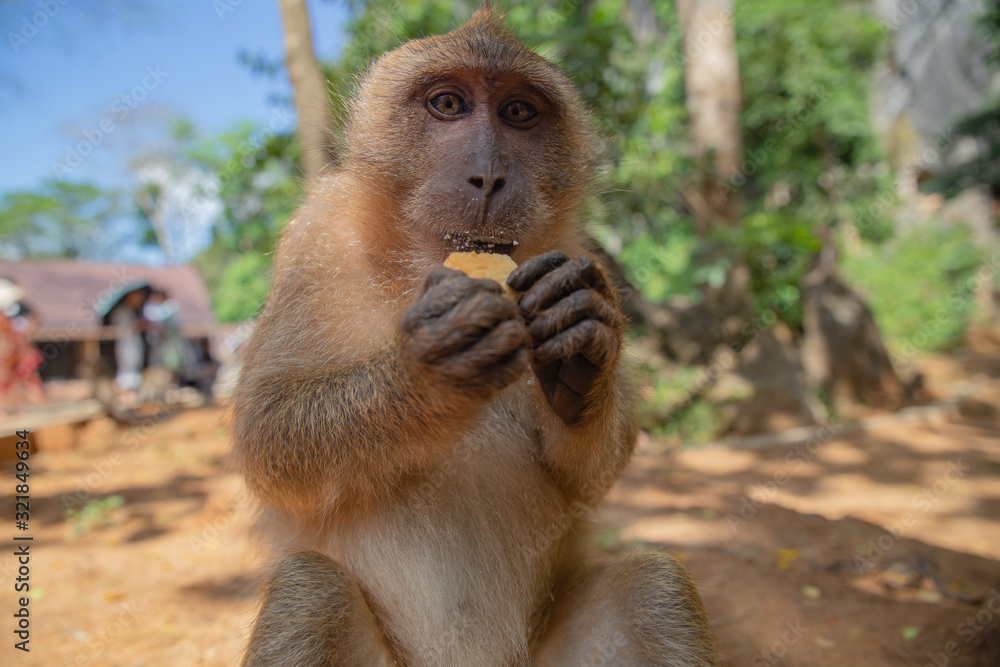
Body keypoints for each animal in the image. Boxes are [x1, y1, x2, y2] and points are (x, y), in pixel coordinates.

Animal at [231, 6, 720, 666]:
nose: (488, 176)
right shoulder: (316, 238)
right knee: (312, 592)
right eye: (447, 104)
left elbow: (592, 474)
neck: (413, 271)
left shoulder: (581, 255)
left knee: (654, 586)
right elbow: (267, 432)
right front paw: (429, 374)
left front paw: (583, 358)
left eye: (518, 112)